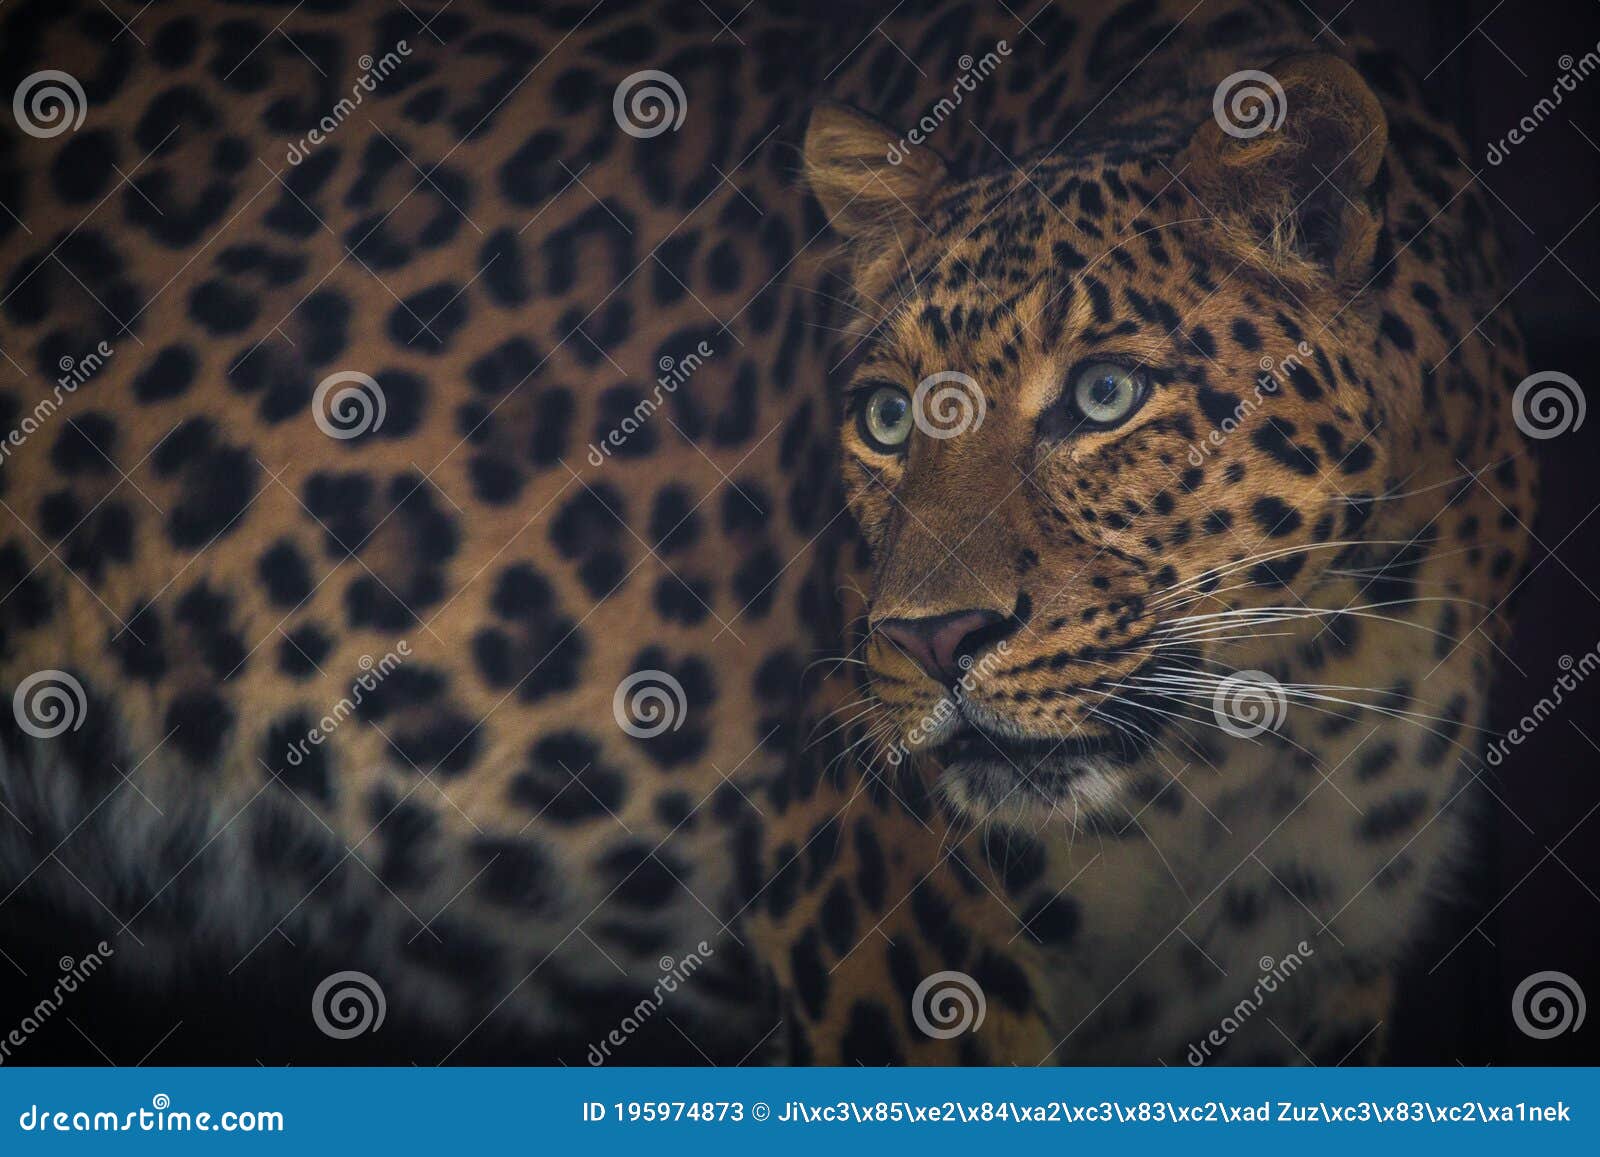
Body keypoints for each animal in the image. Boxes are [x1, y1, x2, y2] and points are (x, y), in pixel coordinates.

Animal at [0, 0, 1535, 1068]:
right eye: (886, 417)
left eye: (1105, 395)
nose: (930, 639)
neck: (1278, 716)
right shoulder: (889, 930)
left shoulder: (1307, 973)